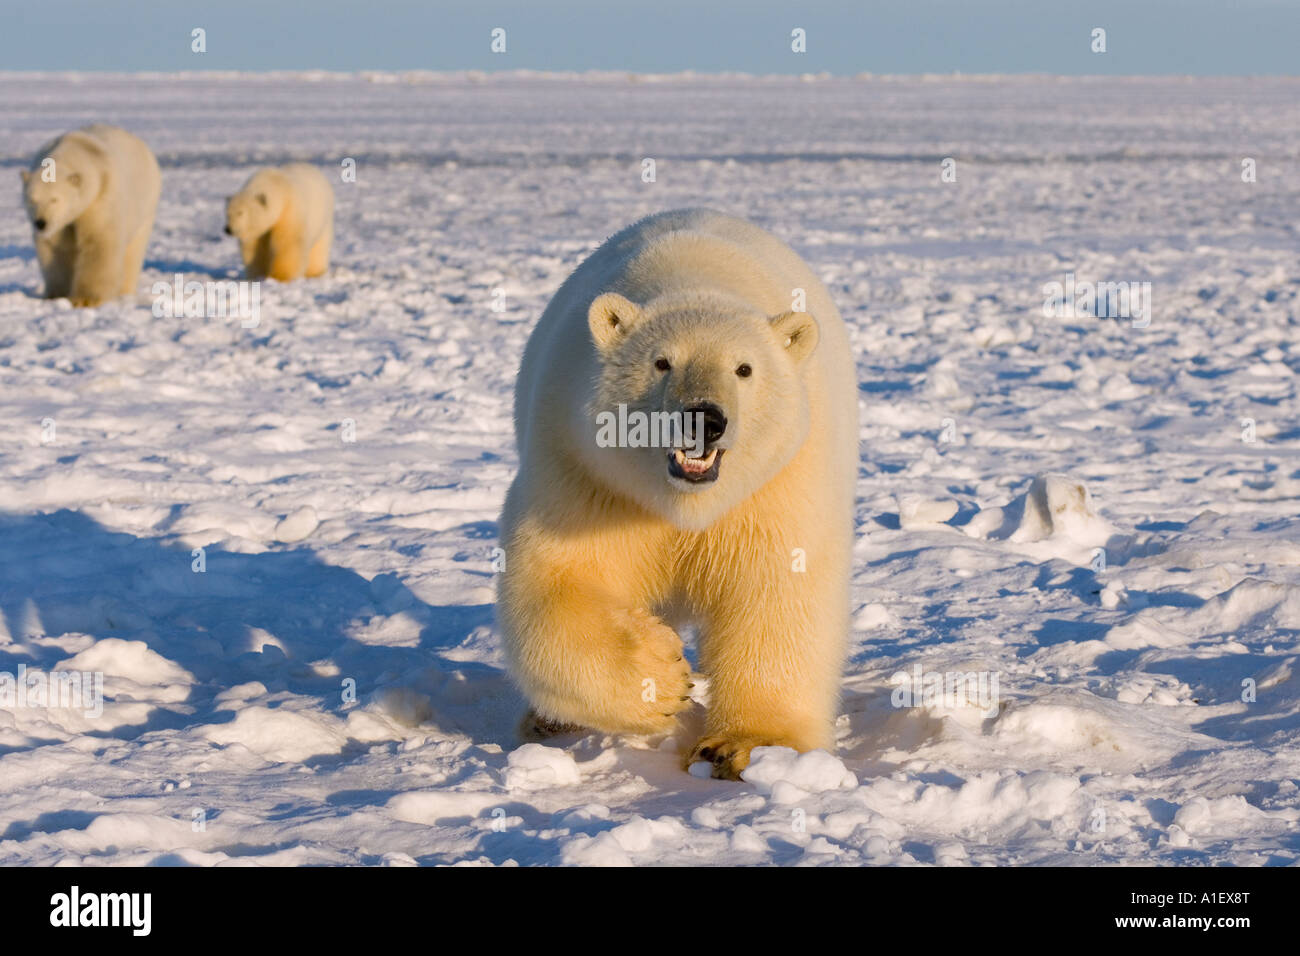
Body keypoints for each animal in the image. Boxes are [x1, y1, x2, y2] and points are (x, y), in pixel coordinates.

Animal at [20, 125, 161, 307]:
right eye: (32, 199)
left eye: (54, 199)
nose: (40, 223)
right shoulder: (60, 225)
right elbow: (57, 250)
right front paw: (56, 295)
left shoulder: (100, 200)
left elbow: (99, 243)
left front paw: (85, 299)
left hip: (145, 204)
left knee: (133, 251)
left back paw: (124, 291)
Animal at [497, 208, 858, 780]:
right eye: (662, 362)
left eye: (744, 368)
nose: (703, 420)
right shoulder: (589, 471)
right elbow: (556, 577)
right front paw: (661, 675)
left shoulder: (779, 481)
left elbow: (778, 586)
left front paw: (746, 746)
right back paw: (549, 722)